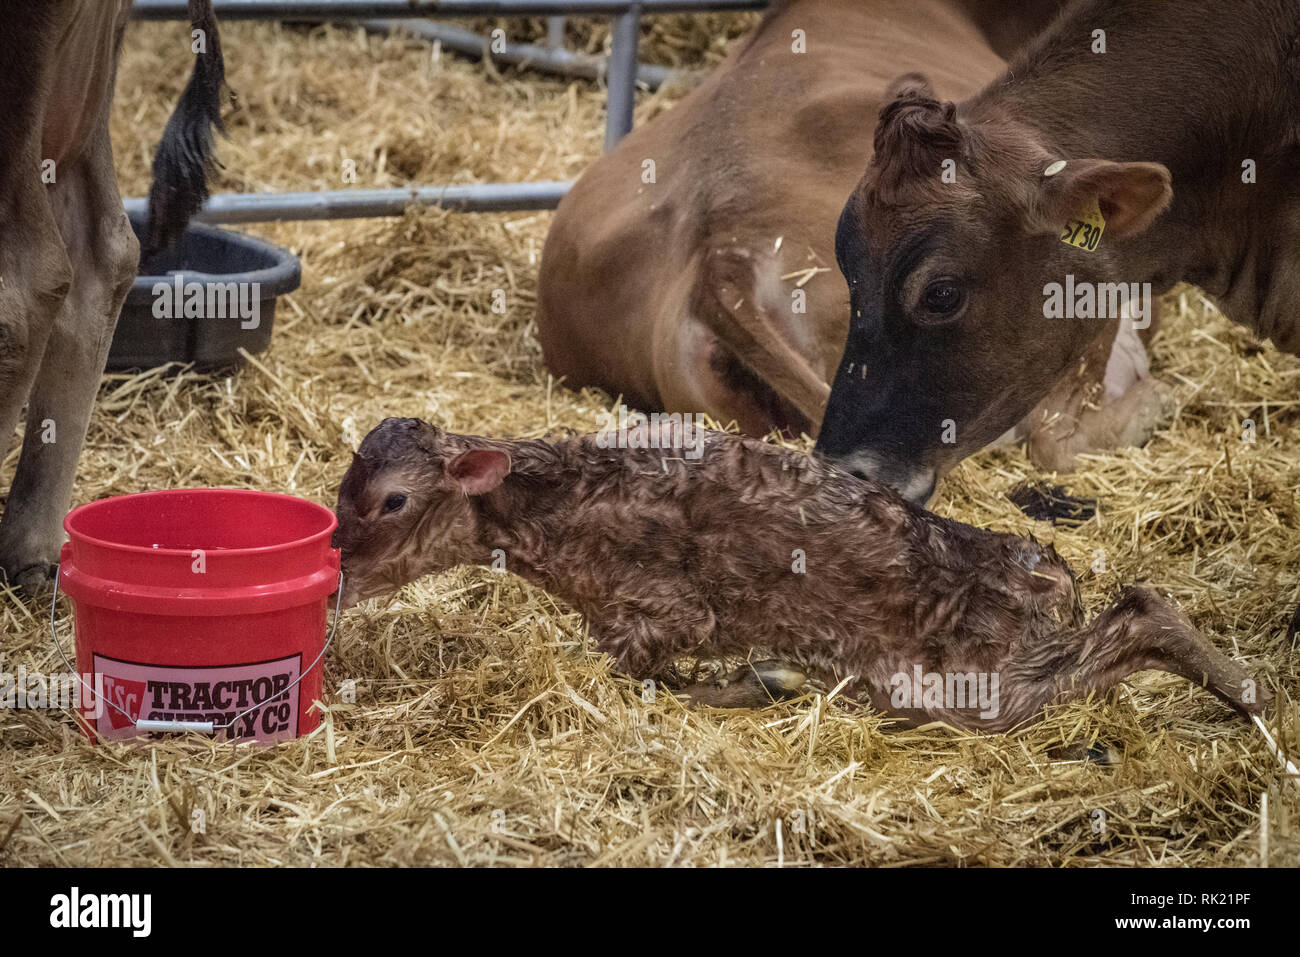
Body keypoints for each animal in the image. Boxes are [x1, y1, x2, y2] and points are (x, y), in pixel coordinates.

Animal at [331, 417, 1266, 732]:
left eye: (390, 500)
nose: (336, 571)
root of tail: (1048, 569)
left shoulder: (665, 610)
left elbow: (640, 670)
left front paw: (733, 687)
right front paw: (760, 683)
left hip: (973, 684)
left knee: (1137, 612)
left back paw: (1251, 693)